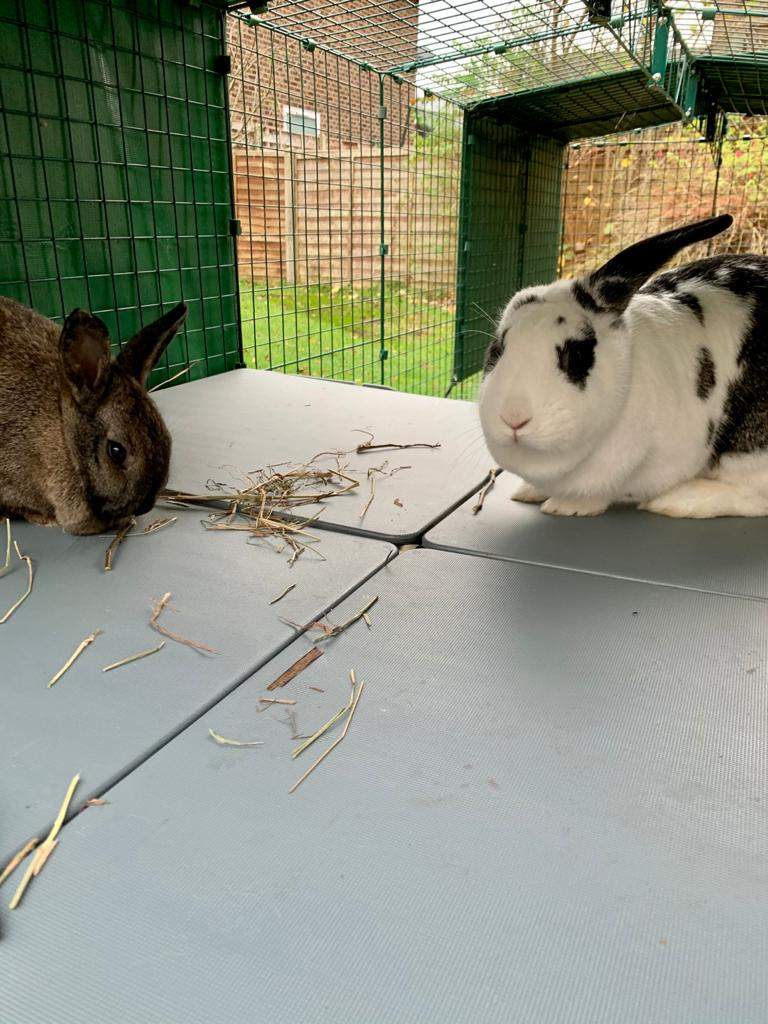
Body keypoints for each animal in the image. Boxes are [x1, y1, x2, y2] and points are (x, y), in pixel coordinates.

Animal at [479, 213, 768, 519]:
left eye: (577, 355)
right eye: (497, 350)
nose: (513, 418)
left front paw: (567, 506)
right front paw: (529, 490)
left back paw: (678, 500)